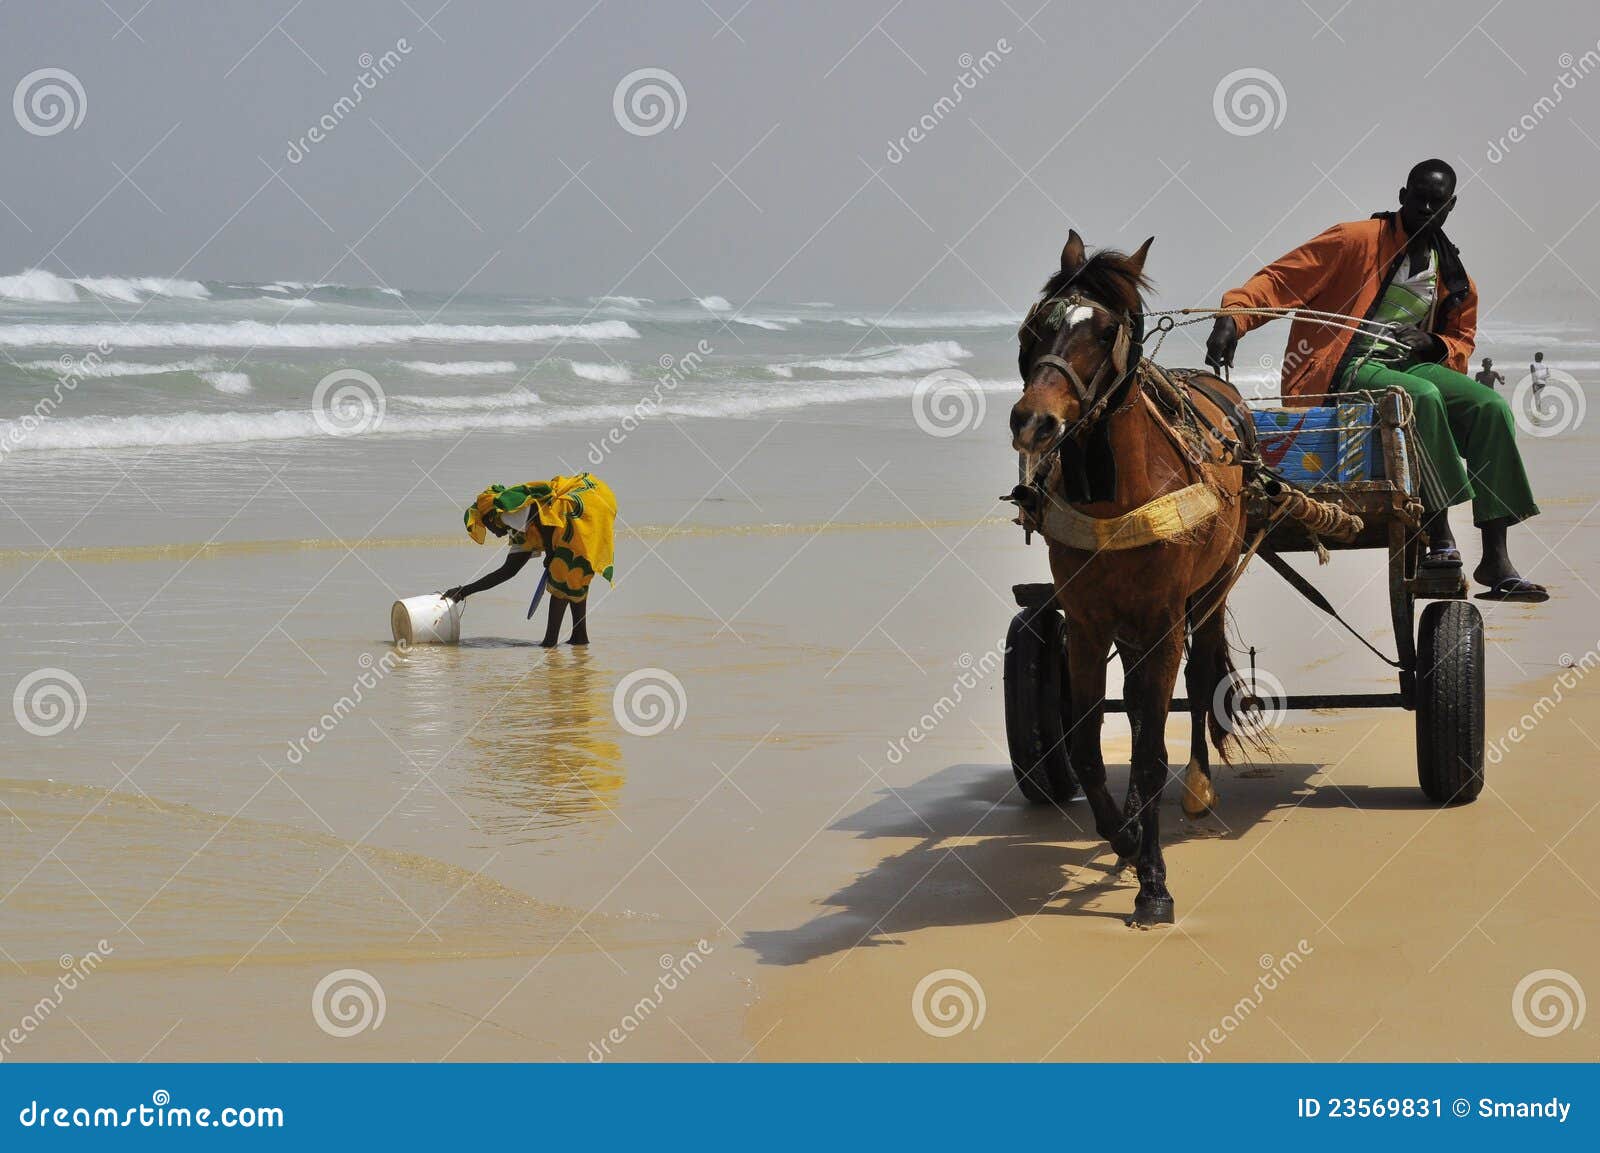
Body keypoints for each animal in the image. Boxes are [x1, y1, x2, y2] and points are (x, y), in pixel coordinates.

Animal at [1009, 231, 1254, 926]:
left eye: (1105, 329)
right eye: (1038, 325)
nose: (1033, 421)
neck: (1114, 495)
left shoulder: (1163, 620)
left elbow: (1149, 752)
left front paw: (1153, 881)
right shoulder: (1090, 624)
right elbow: (1088, 744)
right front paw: (1122, 836)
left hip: (1209, 590)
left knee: (1200, 681)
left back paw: (1197, 786)